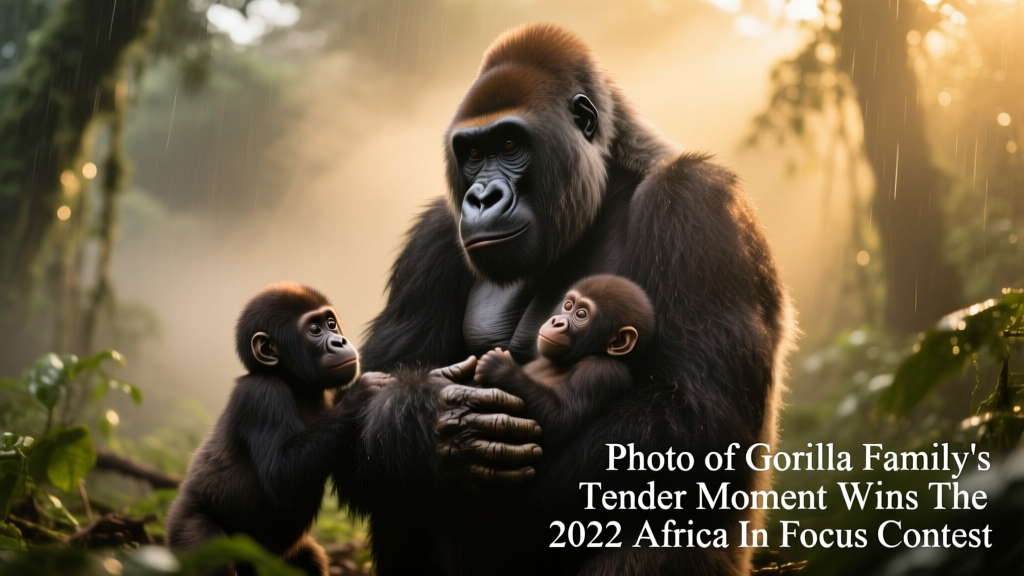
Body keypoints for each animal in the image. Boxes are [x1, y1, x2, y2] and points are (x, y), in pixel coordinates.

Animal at [166, 283, 388, 576]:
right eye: (314, 329)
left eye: (331, 323)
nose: (339, 341)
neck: (294, 383)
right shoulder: (262, 393)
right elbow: (281, 473)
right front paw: (360, 394)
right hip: (186, 529)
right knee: (210, 550)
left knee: (308, 560)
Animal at [473, 275, 655, 449]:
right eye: (568, 305)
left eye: (581, 314)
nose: (556, 322)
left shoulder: (602, 369)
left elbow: (560, 418)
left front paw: (498, 367)